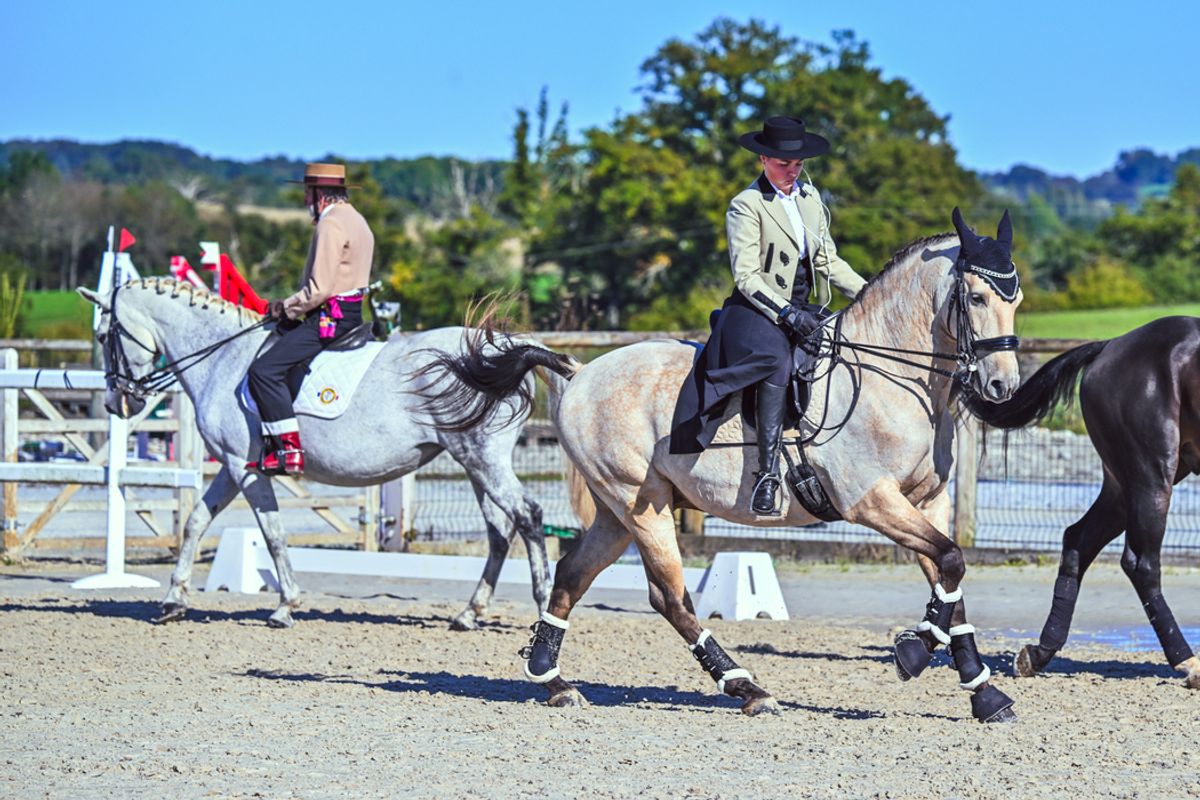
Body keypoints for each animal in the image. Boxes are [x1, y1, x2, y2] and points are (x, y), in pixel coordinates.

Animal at [78, 278, 551, 631]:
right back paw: (469, 614)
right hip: (474, 464)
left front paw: (285, 605)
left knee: (527, 516)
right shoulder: (231, 467)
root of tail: (502, 350)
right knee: (499, 531)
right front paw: (173, 600)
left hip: (482, 459)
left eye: (103, 336)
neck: (222, 357)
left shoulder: (247, 471)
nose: (117, 403)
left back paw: (544, 603)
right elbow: (196, 521)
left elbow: (272, 533)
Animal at [417, 209, 1025, 722]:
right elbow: (951, 563)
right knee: (669, 597)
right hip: (643, 506)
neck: (892, 379)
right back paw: (746, 687)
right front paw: (914, 652)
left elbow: (951, 579)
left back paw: (553, 681)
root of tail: (581, 372)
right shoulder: (872, 502)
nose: (1001, 386)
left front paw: (984, 693)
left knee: (572, 576)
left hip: (617, 512)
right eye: (975, 297)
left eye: (1015, 299)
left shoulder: (926, 501)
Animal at [960, 316, 1200, 689]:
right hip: (1150, 473)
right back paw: (1187, 663)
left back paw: (1037, 653)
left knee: (1078, 540)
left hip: (1124, 483)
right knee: (1141, 564)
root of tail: (1111, 345)